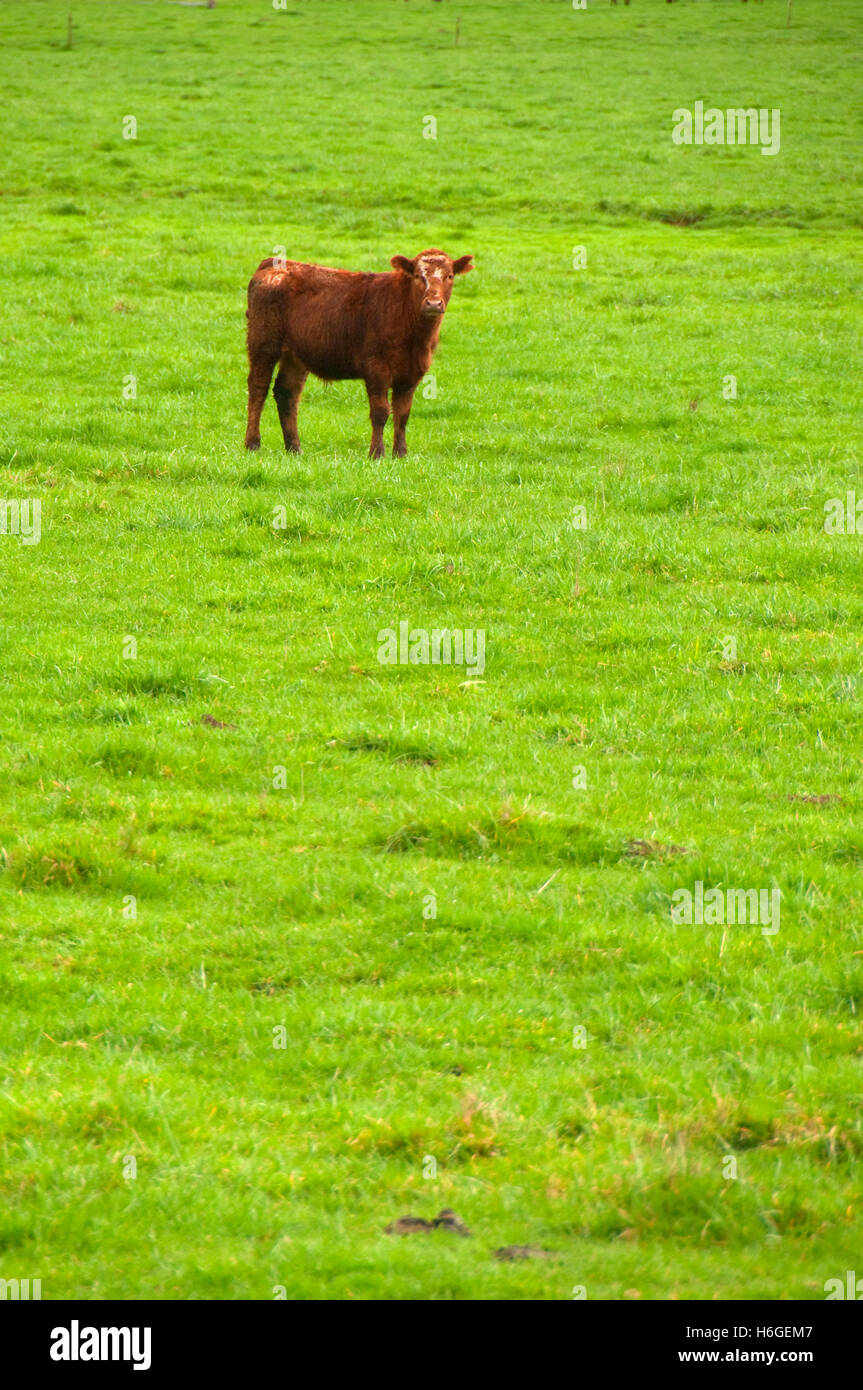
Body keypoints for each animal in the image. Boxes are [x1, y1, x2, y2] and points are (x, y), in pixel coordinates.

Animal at [244, 248, 473, 458]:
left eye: (450, 276)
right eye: (417, 276)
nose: (433, 303)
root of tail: (274, 264)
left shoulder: (412, 373)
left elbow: (402, 415)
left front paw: (400, 454)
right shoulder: (376, 369)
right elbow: (381, 412)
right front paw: (376, 454)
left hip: (296, 356)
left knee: (287, 392)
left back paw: (294, 448)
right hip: (263, 343)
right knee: (258, 388)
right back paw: (252, 444)